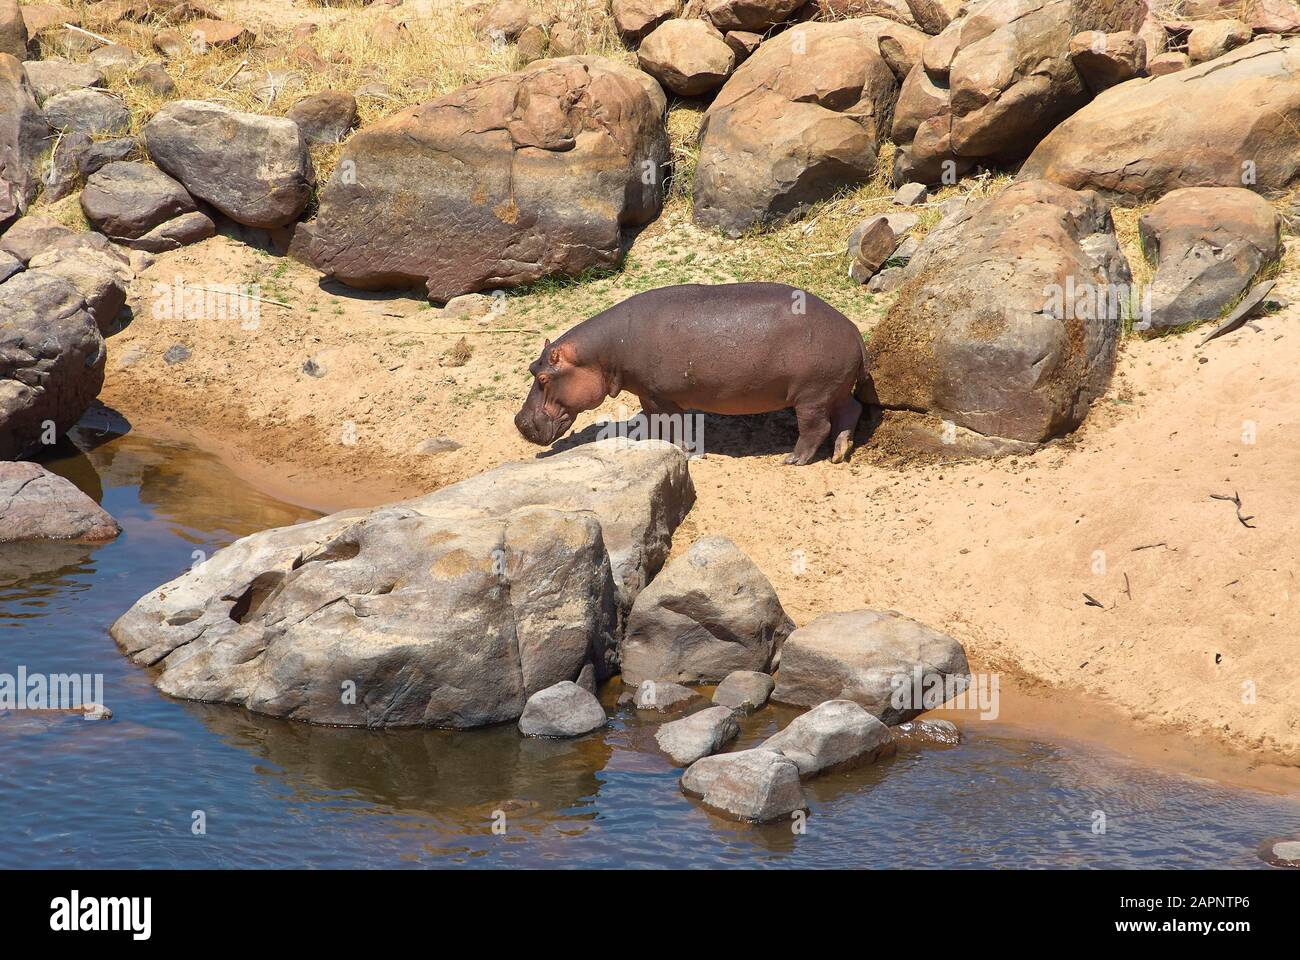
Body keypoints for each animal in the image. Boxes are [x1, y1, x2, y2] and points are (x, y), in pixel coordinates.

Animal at [514, 282, 870, 465]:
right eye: (531, 368)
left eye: (543, 378)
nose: (519, 421)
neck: (601, 354)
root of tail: (854, 330)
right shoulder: (647, 393)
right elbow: (653, 419)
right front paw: (648, 438)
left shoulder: (661, 394)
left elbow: (673, 423)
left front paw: (682, 450)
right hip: (834, 390)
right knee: (850, 411)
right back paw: (840, 453)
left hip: (812, 395)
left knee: (816, 427)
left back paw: (794, 459)